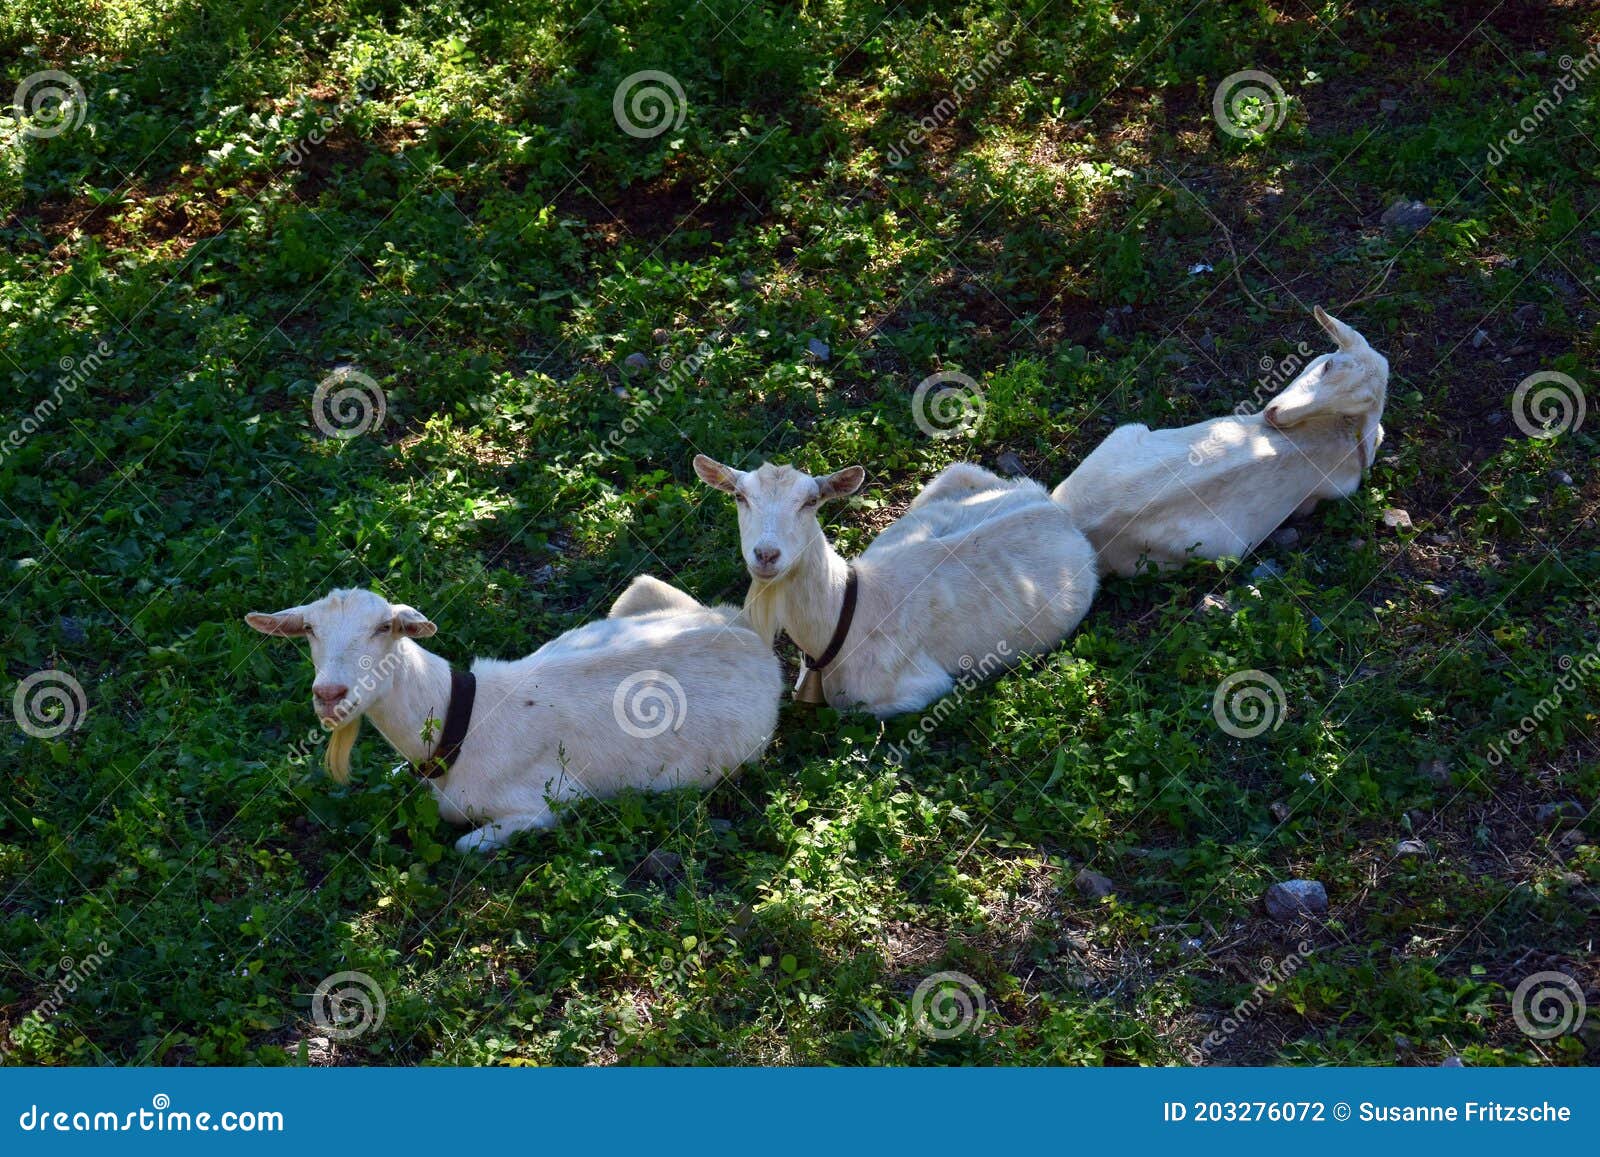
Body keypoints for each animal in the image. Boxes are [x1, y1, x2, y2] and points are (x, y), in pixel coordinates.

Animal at [245, 577, 781, 851]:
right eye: (309, 629)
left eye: (384, 627)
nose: (329, 693)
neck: (461, 718)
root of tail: (747, 633)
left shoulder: (547, 803)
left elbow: (465, 845)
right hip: (642, 592)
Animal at [693, 455, 1098, 717]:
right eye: (739, 496)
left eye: (811, 501)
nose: (766, 554)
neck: (845, 611)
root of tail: (1057, 512)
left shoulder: (917, 689)